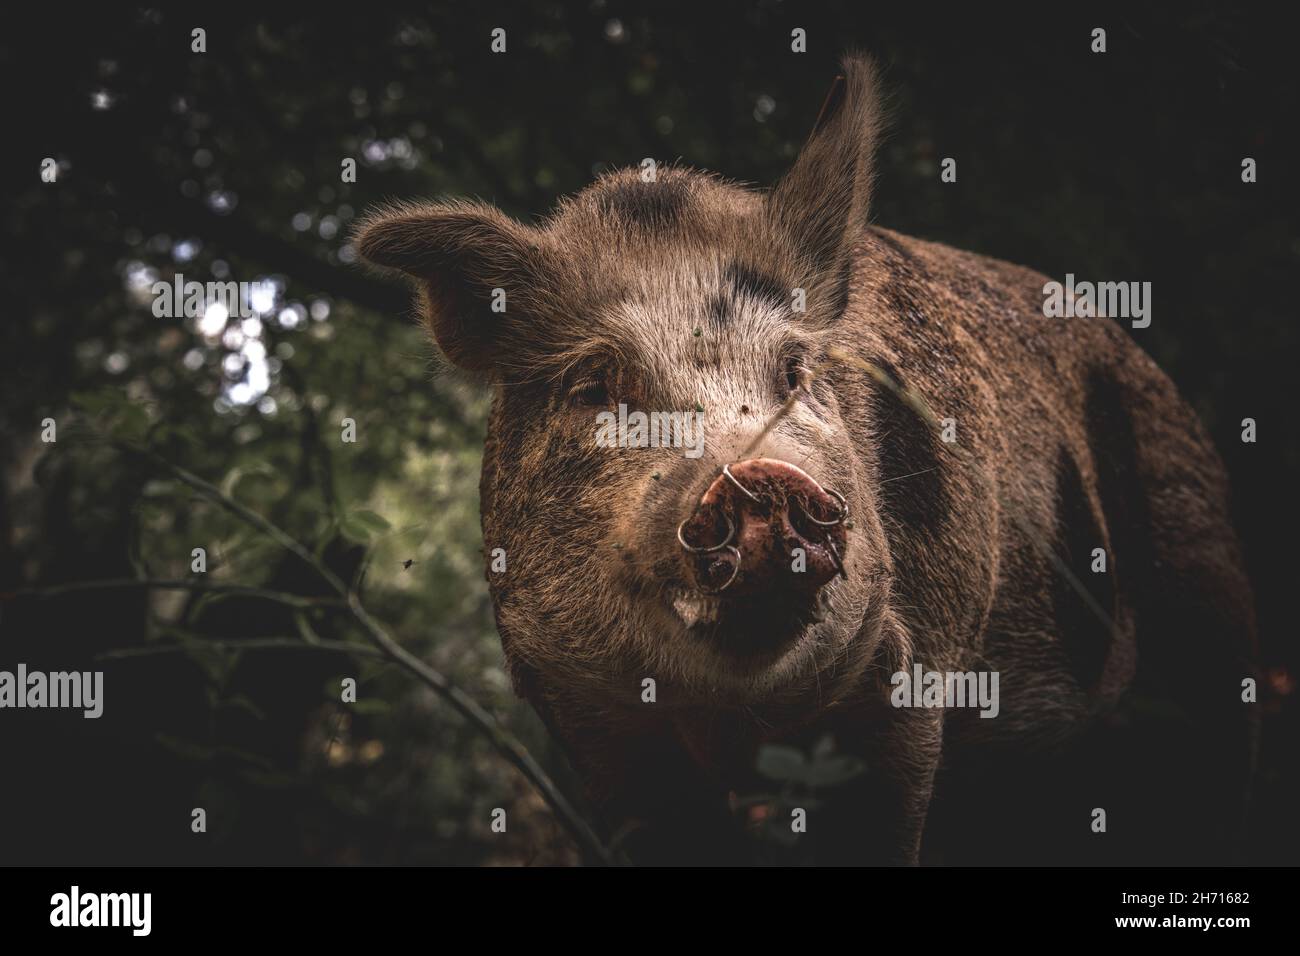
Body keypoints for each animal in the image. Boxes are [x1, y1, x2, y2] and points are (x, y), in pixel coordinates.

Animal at [357, 54, 1258, 865]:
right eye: (595, 385)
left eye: (795, 373)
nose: (760, 476)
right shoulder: (588, 723)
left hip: (1206, 584)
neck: (729, 719)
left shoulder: (902, 681)